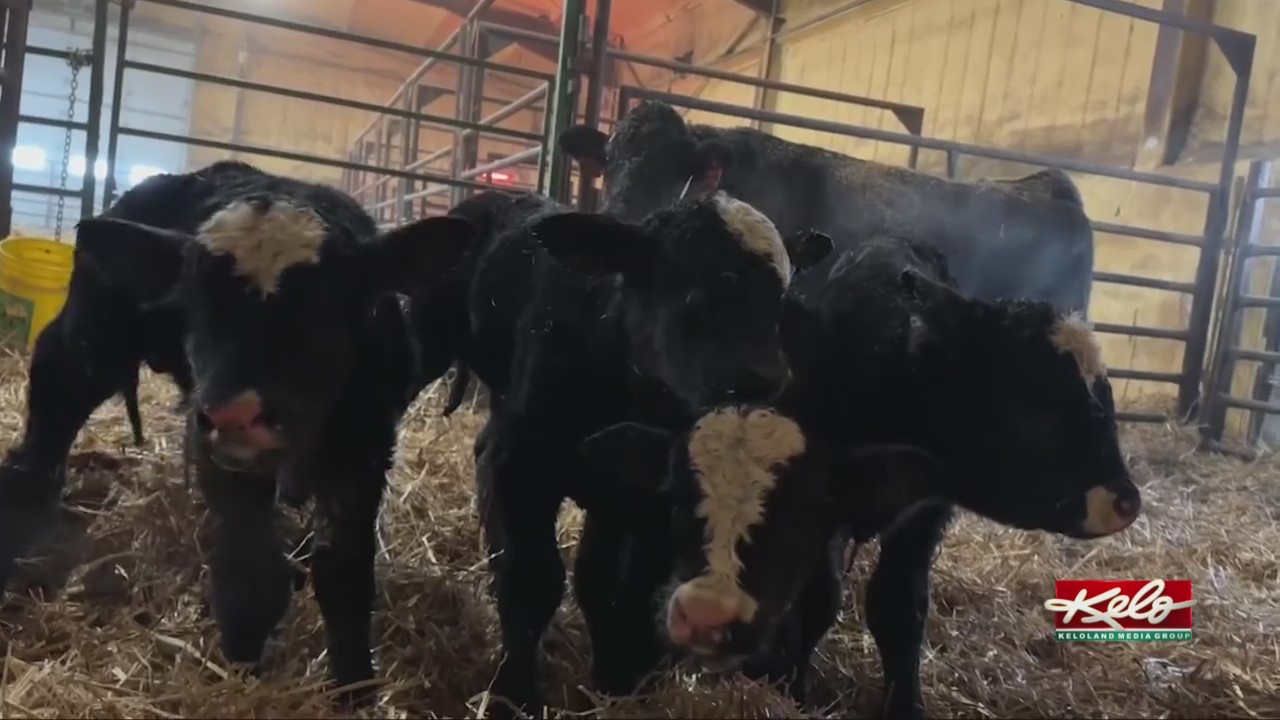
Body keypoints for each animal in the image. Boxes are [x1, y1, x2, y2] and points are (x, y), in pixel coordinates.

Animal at [0, 163, 482, 707]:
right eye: (196, 302)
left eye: (325, 304)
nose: (237, 414)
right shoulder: (216, 448)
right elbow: (249, 567)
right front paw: (245, 664)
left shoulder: (368, 444)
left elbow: (344, 570)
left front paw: (355, 687)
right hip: (91, 338)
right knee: (51, 408)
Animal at [447, 188, 832, 718]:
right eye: (697, 293)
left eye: (779, 302)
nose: (768, 379)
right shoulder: (521, 462)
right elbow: (533, 578)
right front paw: (514, 694)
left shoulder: (649, 495)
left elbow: (622, 588)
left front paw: (620, 682)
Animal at [577, 234, 1140, 718]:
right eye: (1035, 408)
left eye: (1107, 398)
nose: (1125, 499)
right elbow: (818, 599)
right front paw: (784, 685)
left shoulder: (922, 510)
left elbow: (900, 606)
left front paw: (904, 705)